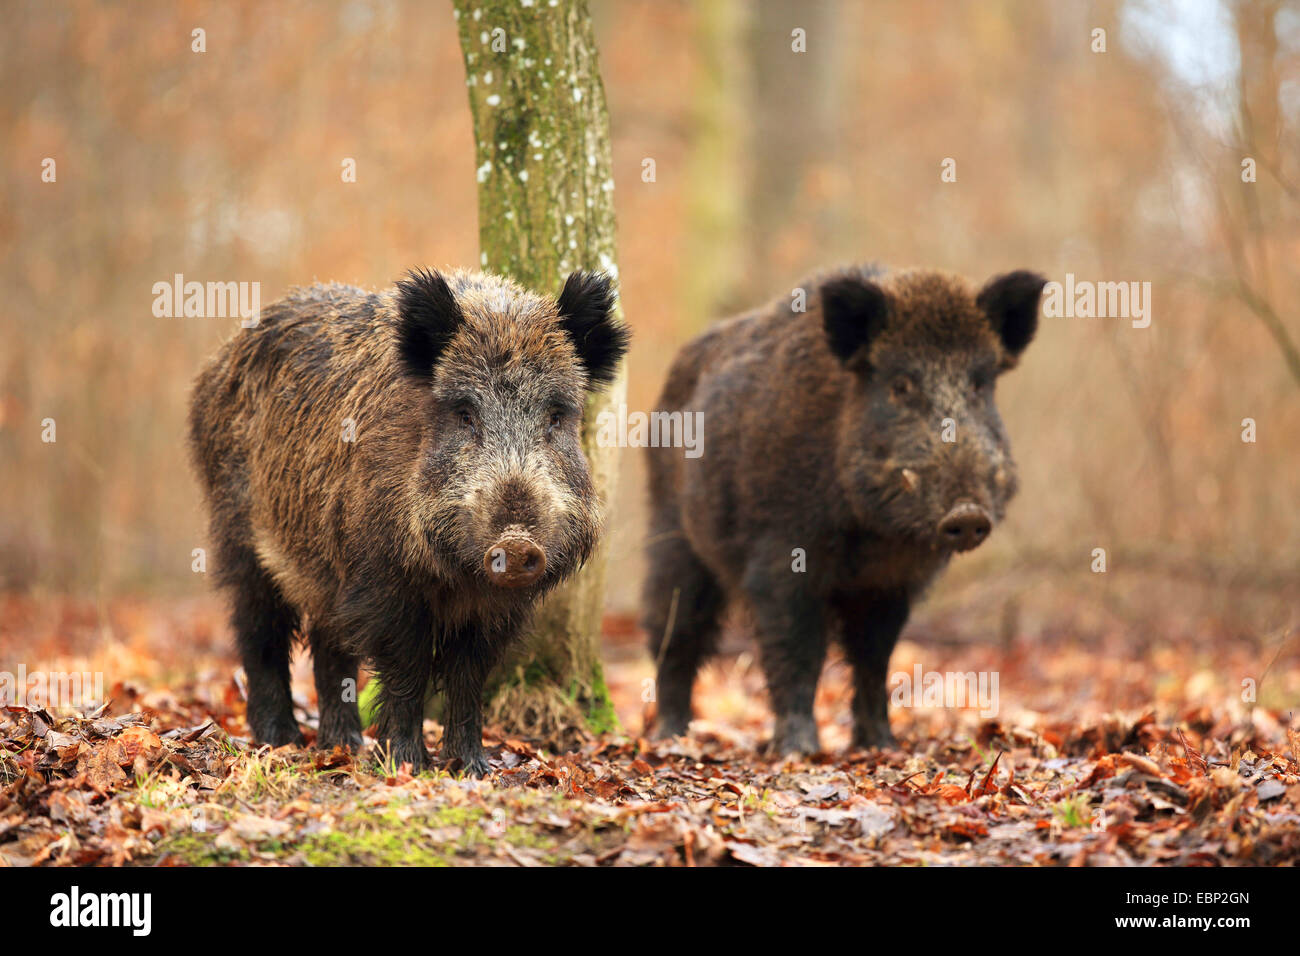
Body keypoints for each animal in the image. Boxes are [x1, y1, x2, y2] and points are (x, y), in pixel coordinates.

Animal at [189, 268, 628, 776]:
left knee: (328, 647)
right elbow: (407, 670)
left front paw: (471, 767)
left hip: (326, 568)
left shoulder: (495, 611)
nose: (518, 544)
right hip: (238, 535)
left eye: (556, 415)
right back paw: (282, 741)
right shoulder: (382, 582)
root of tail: (218, 363)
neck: (458, 579)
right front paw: (407, 765)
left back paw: (342, 745)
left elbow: (468, 677)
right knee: (259, 632)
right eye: (464, 413)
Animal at [642, 265, 1044, 754]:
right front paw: (799, 750)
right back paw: (670, 735)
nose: (967, 513)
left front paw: (880, 745)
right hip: (671, 535)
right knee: (675, 631)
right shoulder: (780, 561)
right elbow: (797, 652)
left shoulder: (891, 584)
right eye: (900, 385)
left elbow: (874, 657)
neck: (876, 535)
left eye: (979, 384)